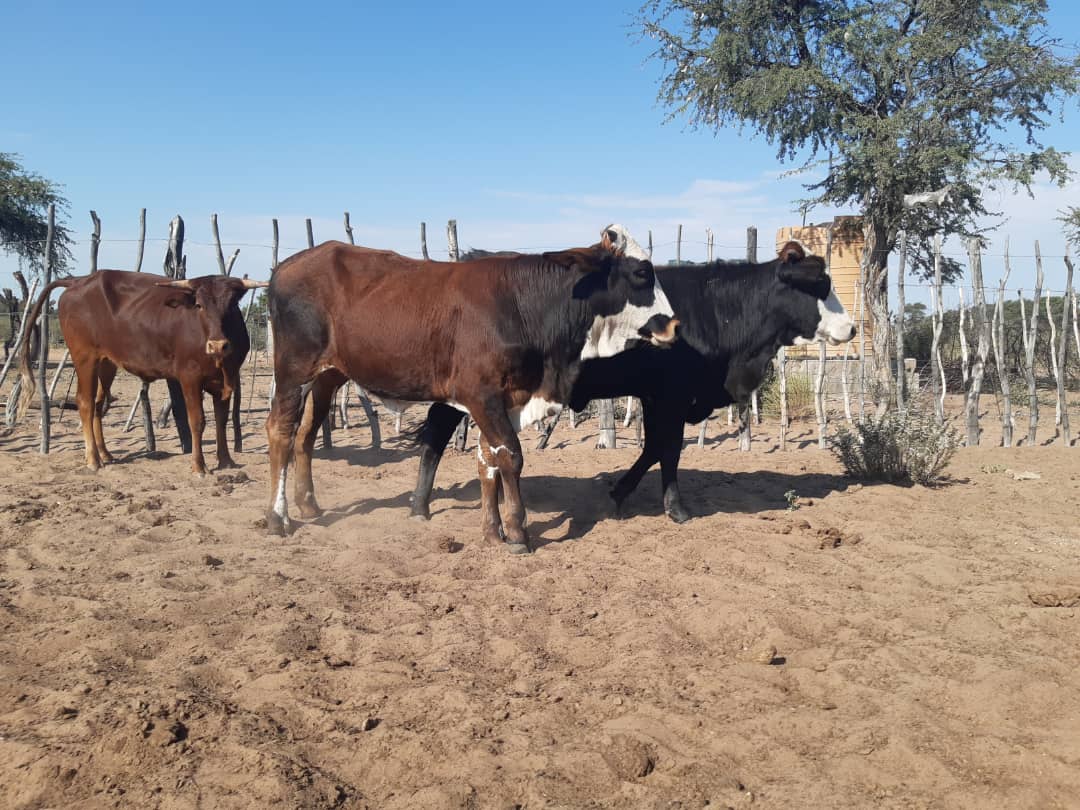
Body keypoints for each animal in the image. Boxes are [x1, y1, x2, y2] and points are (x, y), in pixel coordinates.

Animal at [16, 271, 266, 474]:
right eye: (199, 305)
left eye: (231, 305)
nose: (217, 345)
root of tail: (79, 280)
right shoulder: (189, 378)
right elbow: (197, 421)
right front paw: (199, 465)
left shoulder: (226, 380)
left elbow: (222, 420)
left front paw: (226, 461)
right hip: (84, 358)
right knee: (85, 403)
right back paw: (93, 459)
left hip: (106, 363)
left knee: (98, 404)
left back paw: (105, 454)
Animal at [264, 227, 678, 552]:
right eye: (642, 272)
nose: (673, 326)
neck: (523, 303)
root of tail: (285, 266)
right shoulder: (481, 396)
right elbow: (509, 456)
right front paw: (517, 533)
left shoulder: (505, 400)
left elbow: (487, 459)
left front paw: (492, 532)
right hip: (293, 370)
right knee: (281, 432)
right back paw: (277, 518)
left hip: (327, 375)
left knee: (306, 433)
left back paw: (309, 506)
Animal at [410, 240, 857, 526]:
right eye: (820, 285)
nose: (853, 328)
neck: (715, 311)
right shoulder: (672, 396)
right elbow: (668, 450)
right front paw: (676, 509)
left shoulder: (659, 397)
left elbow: (656, 448)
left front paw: (619, 492)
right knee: (436, 435)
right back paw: (421, 505)